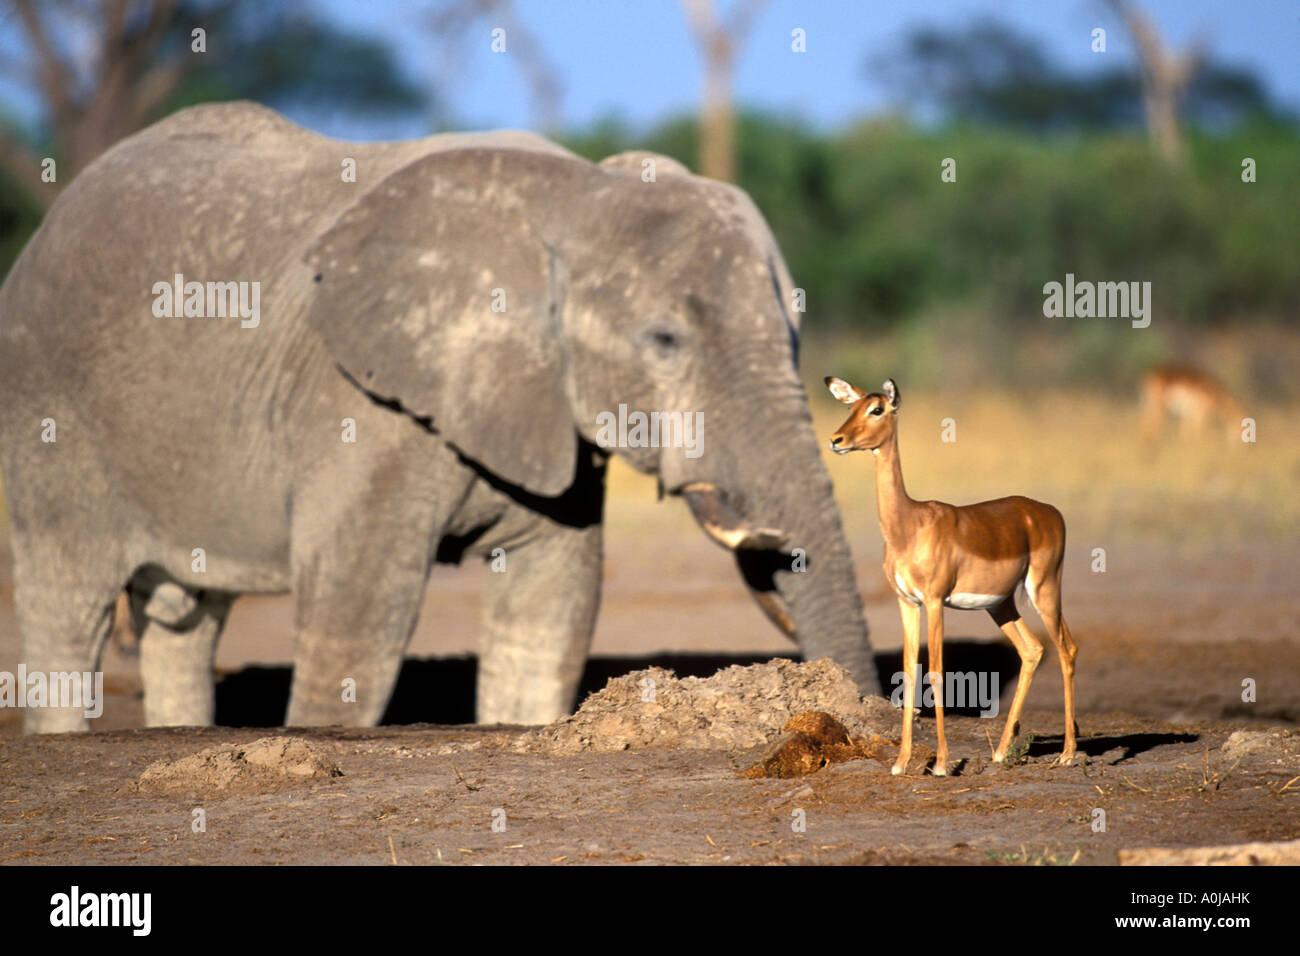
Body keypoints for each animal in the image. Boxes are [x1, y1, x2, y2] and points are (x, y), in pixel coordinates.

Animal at [825, 377, 1077, 776]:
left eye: (876, 409)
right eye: (850, 407)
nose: (837, 439)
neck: (908, 525)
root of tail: (1049, 511)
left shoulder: (934, 601)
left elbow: (936, 671)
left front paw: (942, 763)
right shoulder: (907, 603)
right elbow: (908, 672)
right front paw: (901, 763)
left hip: (1044, 590)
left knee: (1067, 649)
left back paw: (1067, 753)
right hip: (1001, 605)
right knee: (1033, 650)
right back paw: (1001, 752)